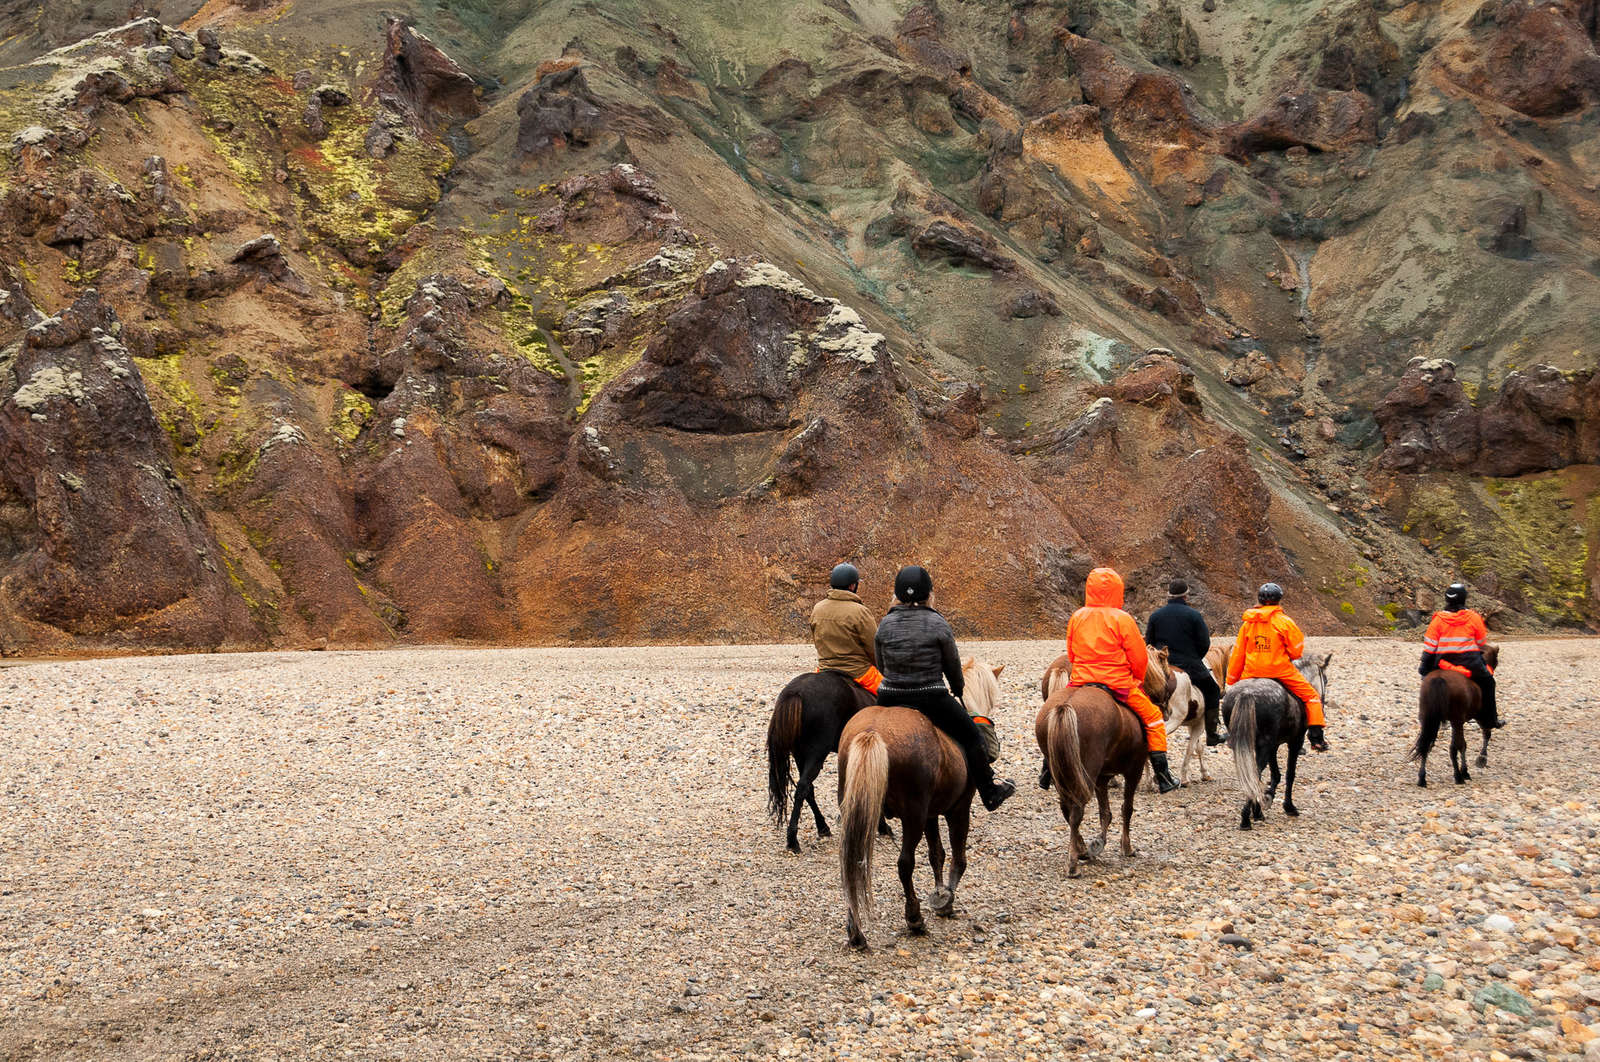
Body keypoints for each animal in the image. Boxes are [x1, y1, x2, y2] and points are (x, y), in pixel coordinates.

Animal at [766, 670, 884, 853]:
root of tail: (795, 693)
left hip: (801, 754)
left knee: (808, 789)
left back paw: (822, 827)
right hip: (817, 753)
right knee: (803, 787)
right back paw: (793, 839)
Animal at [836, 659, 1004, 949]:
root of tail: (872, 732)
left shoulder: (930, 814)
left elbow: (937, 854)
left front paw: (940, 893)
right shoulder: (957, 809)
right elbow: (957, 858)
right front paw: (946, 899)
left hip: (860, 811)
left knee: (853, 863)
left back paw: (856, 932)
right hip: (912, 816)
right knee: (905, 864)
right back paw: (914, 918)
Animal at [1034, 681, 1148, 877]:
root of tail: (1065, 706)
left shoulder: (1102, 778)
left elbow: (1106, 813)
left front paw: (1098, 843)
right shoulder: (1134, 771)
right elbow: (1127, 809)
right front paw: (1125, 846)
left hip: (1060, 770)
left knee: (1067, 808)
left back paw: (1081, 850)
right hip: (1087, 769)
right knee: (1076, 812)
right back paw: (1073, 864)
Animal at [1223, 652, 1331, 830]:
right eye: (1326, 680)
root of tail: (1246, 693)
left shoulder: (1272, 746)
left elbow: (1275, 774)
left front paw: (1265, 800)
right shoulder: (1295, 742)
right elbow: (1289, 774)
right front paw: (1288, 806)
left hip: (1248, 745)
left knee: (1252, 774)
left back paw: (1253, 812)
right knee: (1256, 772)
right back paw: (1246, 818)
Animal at [1411, 644, 1500, 787]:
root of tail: (1439, 678)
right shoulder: (1479, 717)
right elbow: (1483, 735)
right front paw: (1478, 761)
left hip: (1428, 719)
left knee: (1425, 745)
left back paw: (1422, 779)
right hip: (1456, 721)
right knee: (1454, 746)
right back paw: (1458, 776)